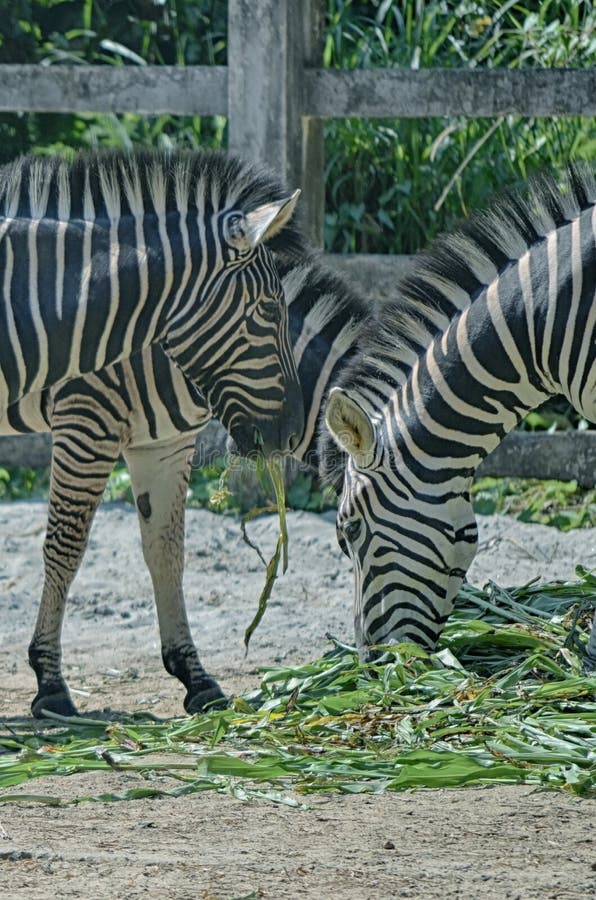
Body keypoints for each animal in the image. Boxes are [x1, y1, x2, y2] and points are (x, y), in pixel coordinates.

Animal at [3, 250, 368, 717]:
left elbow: (167, 554)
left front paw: (195, 677)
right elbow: (65, 548)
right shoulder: (86, 417)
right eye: (348, 535)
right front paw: (50, 682)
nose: (393, 661)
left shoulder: (163, 441)